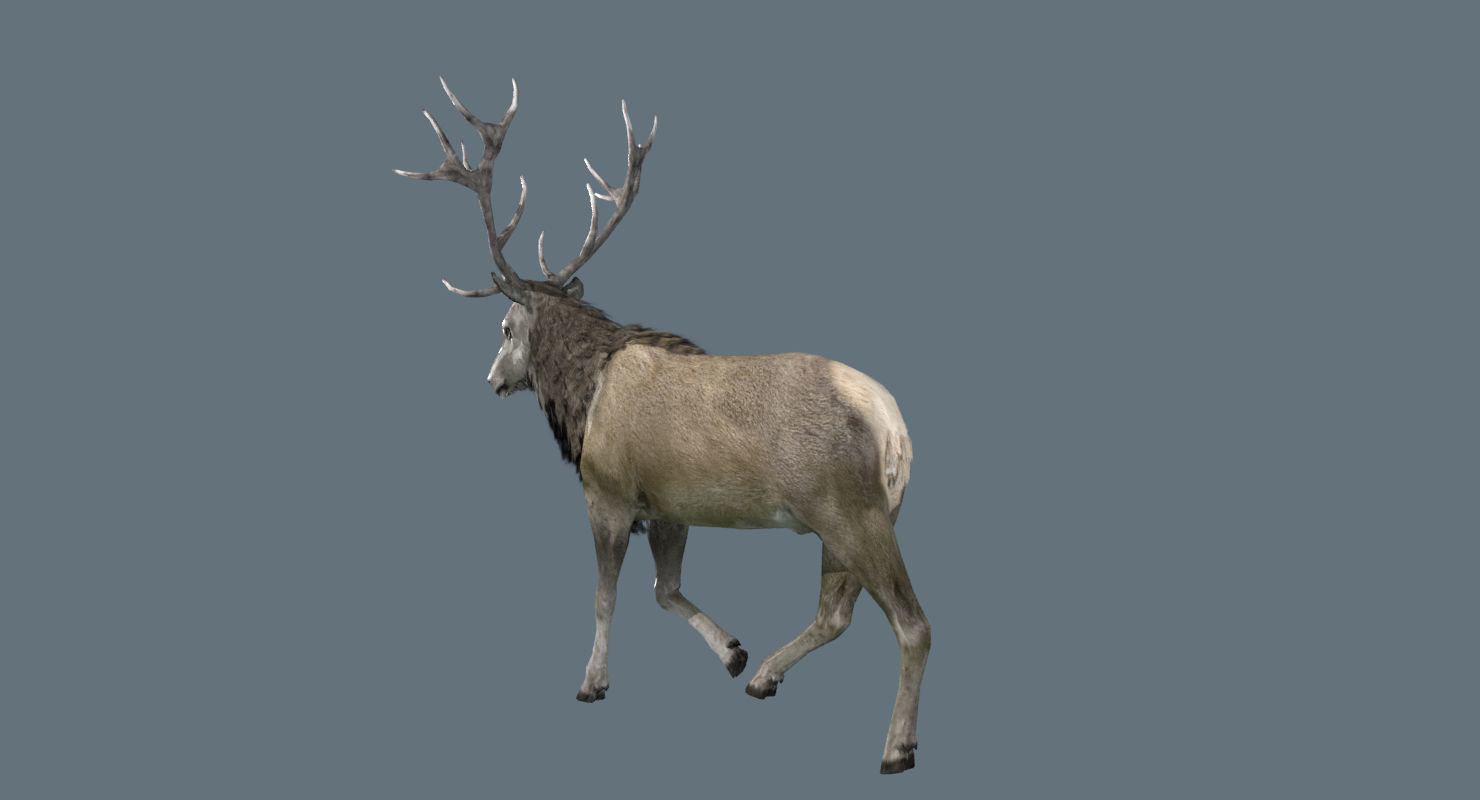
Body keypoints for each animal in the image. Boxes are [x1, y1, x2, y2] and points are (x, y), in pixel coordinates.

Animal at [395, 78, 931, 774]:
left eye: (506, 329)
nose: (492, 380)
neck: (581, 401)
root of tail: (895, 429)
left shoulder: (608, 492)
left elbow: (607, 595)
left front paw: (592, 682)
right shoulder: (670, 506)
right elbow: (665, 589)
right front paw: (733, 652)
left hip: (848, 508)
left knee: (910, 622)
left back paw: (896, 746)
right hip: (859, 515)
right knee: (837, 614)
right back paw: (765, 674)